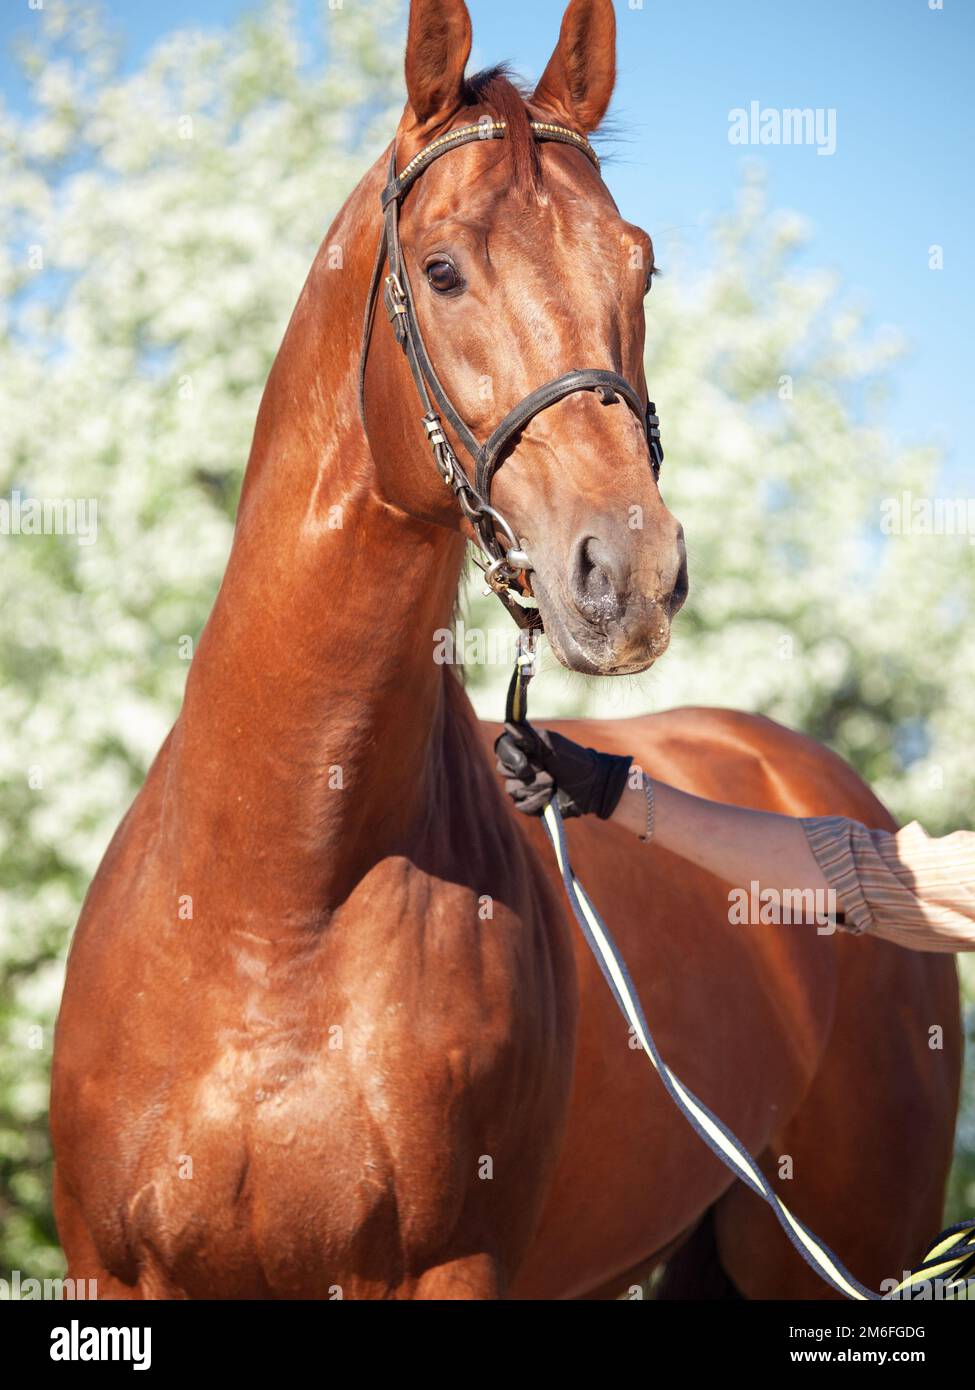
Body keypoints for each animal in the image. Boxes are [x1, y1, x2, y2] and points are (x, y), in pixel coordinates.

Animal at [50, 0, 960, 1300]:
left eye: (640, 263)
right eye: (442, 270)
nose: (630, 572)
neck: (271, 912)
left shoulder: (453, 1265)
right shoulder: (113, 1271)